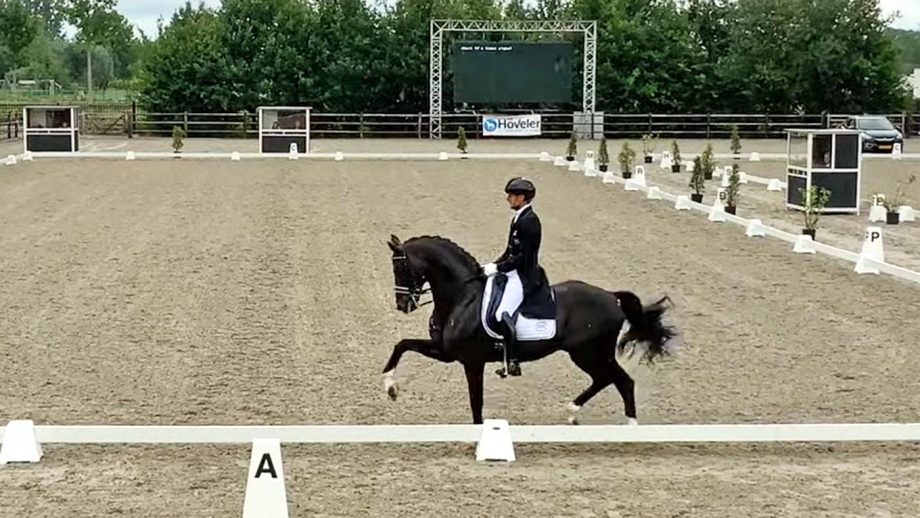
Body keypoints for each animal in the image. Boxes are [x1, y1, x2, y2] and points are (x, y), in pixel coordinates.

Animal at [382, 234, 678, 425]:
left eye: (401, 266)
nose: (402, 305)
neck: (462, 296)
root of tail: (611, 297)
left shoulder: (471, 361)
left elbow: (476, 401)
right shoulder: (445, 352)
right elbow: (402, 345)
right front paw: (390, 386)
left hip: (588, 353)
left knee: (621, 381)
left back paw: (627, 427)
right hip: (588, 354)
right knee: (607, 379)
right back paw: (573, 412)